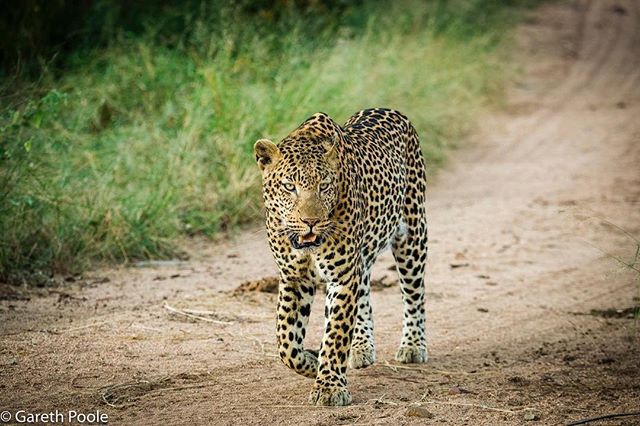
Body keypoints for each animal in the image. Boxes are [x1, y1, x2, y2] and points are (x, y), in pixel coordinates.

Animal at [253, 108, 428, 406]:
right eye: (289, 187)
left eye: (324, 186)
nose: (310, 222)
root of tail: (391, 110)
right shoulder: (294, 277)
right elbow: (286, 341)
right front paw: (312, 362)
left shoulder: (343, 277)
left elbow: (335, 334)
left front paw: (329, 387)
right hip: (365, 255)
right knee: (366, 293)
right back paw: (361, 347)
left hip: (412, 237)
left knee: (414, 295)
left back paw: (413, 346)